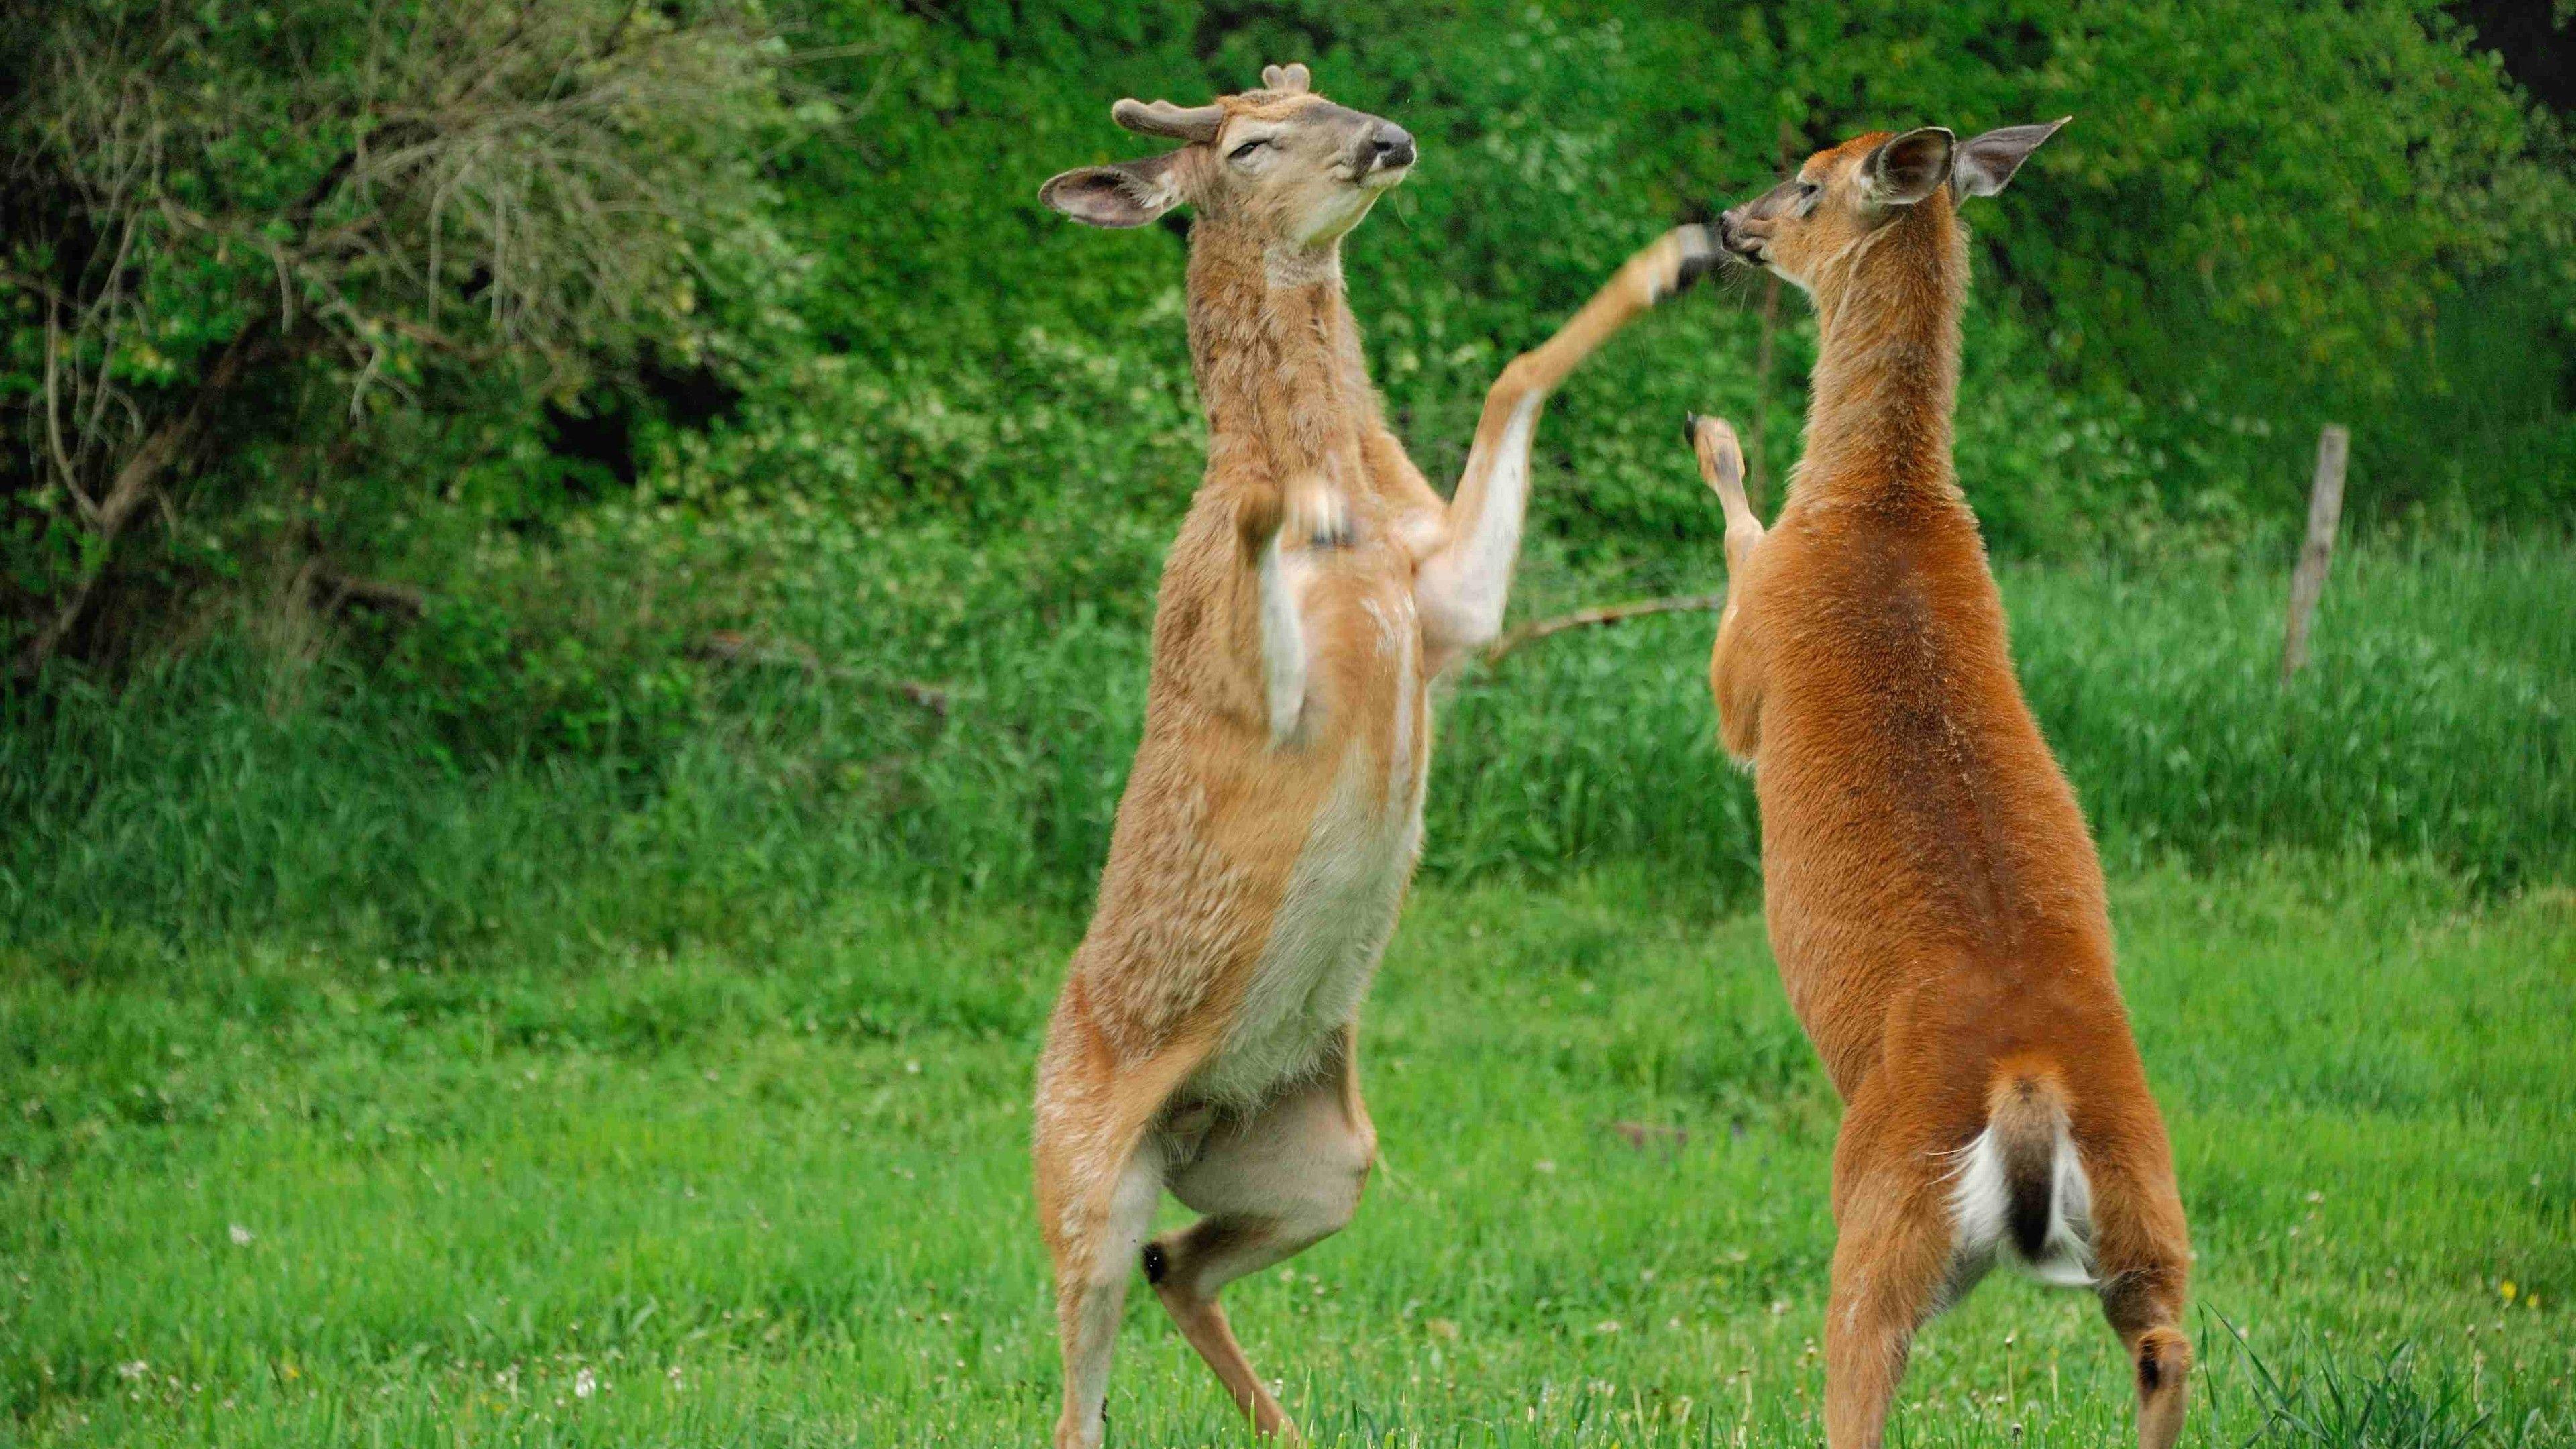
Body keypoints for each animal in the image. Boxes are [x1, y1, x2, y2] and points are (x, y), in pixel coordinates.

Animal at [1031, 63, 1715, 1448]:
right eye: (1247, 143)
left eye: (1330, 97)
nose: (1391, 142)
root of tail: (1187, 1116)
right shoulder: (1256, 683)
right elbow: (1255, 542)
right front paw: (1286, 504)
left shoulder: (1444, 606)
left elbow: (1511, 376)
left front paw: (1674, 255)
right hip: (1081, 1176)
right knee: (1086, 1377)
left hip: (1320, 1162)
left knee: (1180, 1262)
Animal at [1682, 119, 2193, 1449]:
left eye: (1810, 181)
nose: (1730, 219)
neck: (1885, 504)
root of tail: (2031, 1094)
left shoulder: (1748, 660)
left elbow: (1741, 558)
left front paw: (1717, 433)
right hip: (2152, 1206)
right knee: (2169, 1346)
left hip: (1877, 1218)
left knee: (1856, 1376)